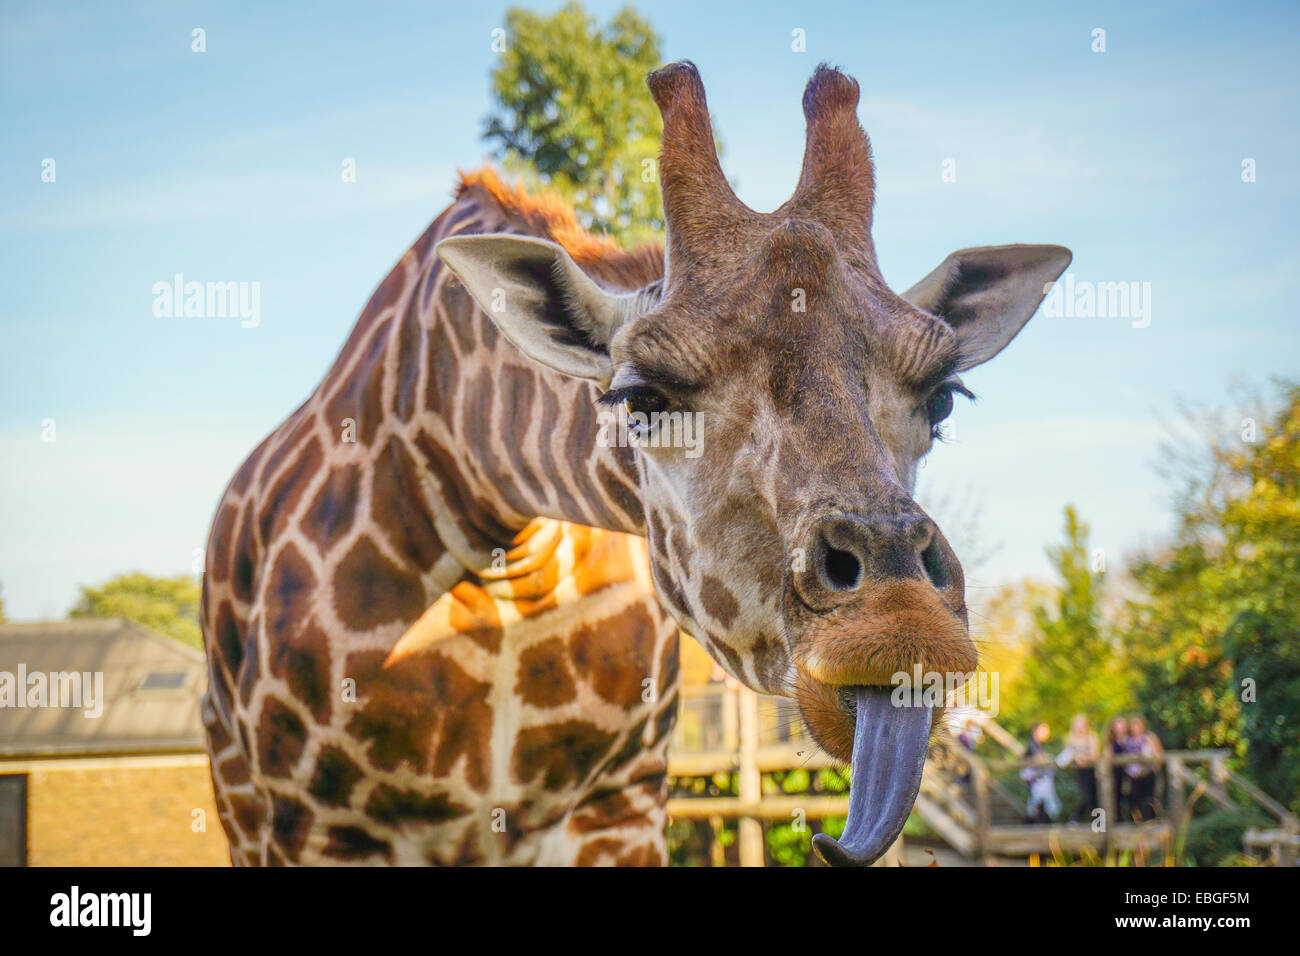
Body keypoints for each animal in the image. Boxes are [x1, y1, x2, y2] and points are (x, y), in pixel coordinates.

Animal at [201, 61, 1070, 867]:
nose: (897, 625)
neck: (492, 516)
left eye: (943, 399)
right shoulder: (319, 824)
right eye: (642, 395)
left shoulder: (618, 803)